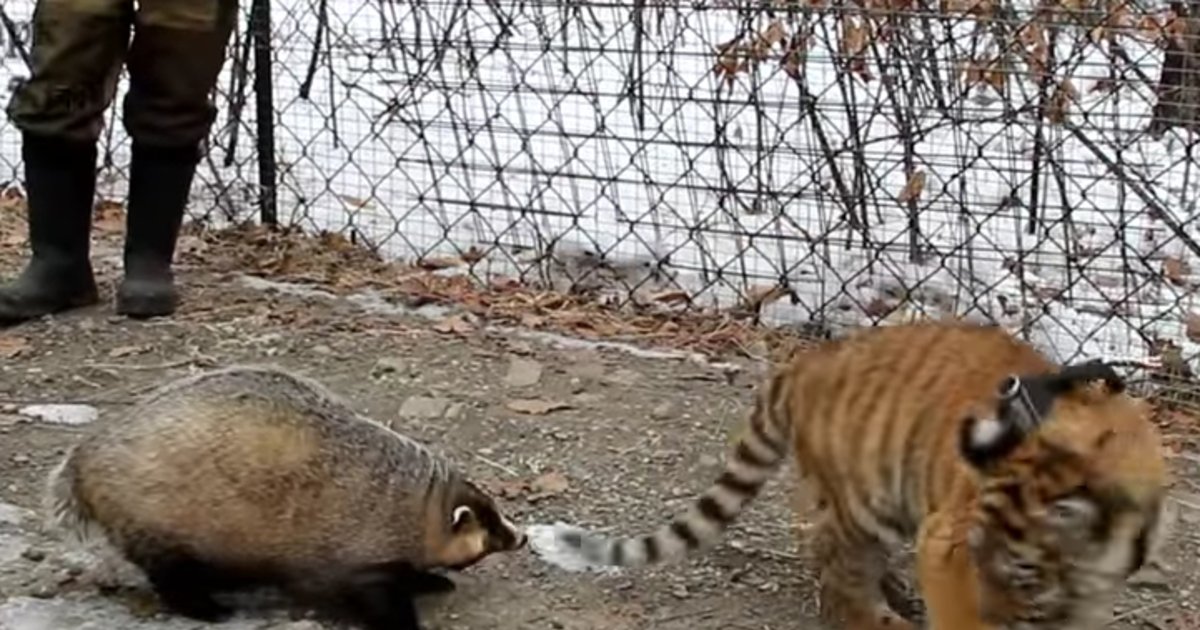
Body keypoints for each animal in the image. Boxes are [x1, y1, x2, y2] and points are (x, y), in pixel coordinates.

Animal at [45, 364, 527, 630]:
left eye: (496, 513)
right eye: (490, 526)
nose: (521, 536)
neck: (411, 504)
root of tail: (83, 460)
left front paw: (433, 579)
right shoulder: (357, 549)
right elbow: (373, 594)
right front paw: (406, 618)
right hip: (158, 516)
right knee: (172, 573)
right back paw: (209, 608)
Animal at [541, 321, 1170, 630]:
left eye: (1019, 569)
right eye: (976, 557)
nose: (997, 612)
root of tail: (805, 362)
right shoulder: (943, 540)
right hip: (868, 499)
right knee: (835, 574)